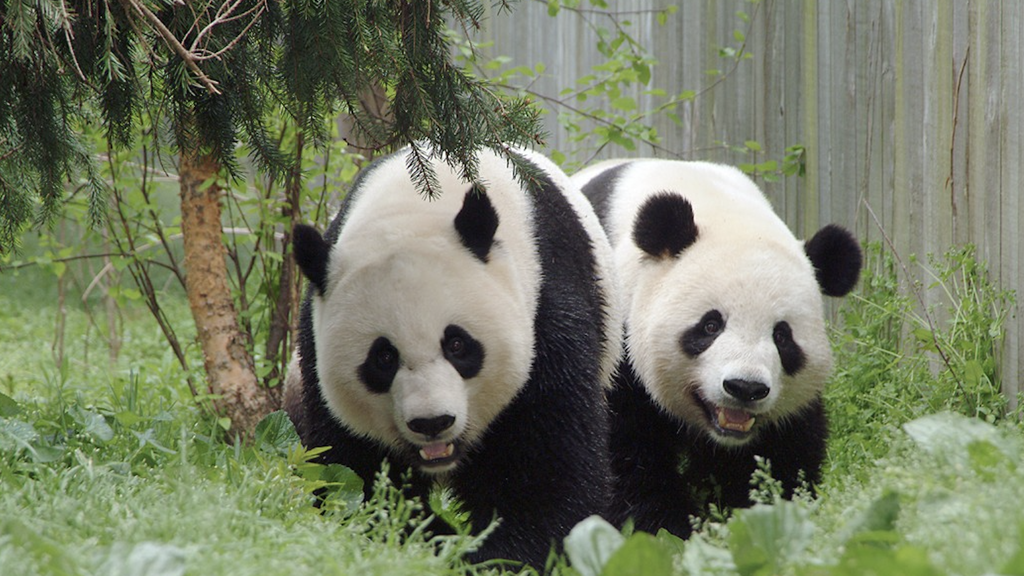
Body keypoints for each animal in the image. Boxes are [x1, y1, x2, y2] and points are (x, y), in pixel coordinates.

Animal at [284, 144, 622, 567]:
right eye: (383, 358)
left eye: (457, 345)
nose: (432, 423)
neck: (419, 200)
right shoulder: (315, 341)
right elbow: (354, 469)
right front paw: (422, 541)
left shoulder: (545, 302)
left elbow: (546, 463)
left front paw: (502, 555)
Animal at [572, 159, 862, 538]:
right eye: (711, 325)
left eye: (782, 337)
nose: (745, 388)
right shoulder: (617, 341)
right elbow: (625, 450)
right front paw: (670, 527)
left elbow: (783, 454)